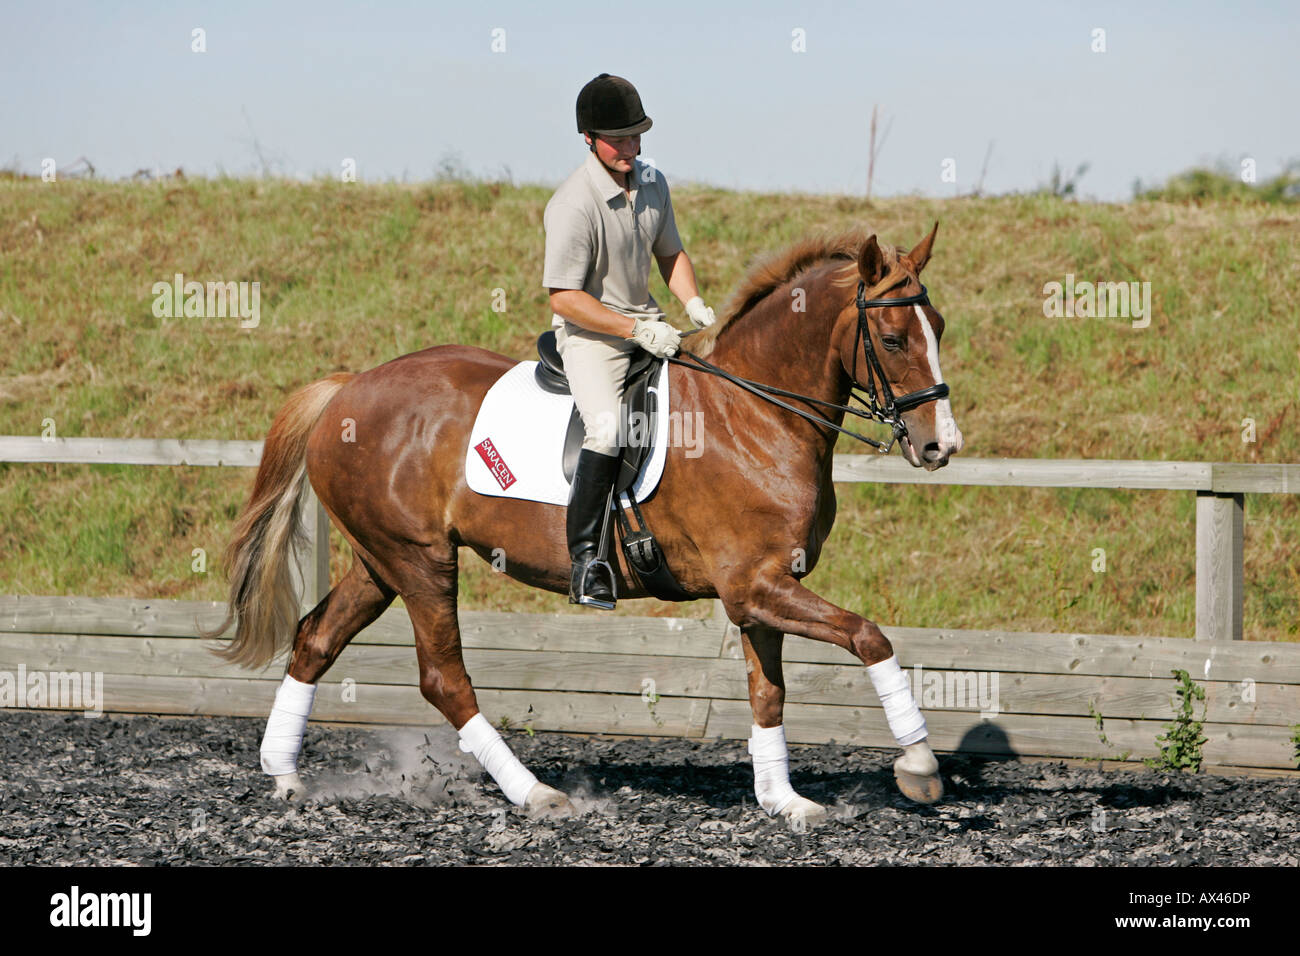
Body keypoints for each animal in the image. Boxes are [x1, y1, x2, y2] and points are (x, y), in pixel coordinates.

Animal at [207, 223, 963, 827]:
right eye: (892, 339)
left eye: (939, 328)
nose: (939, 447)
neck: (757, 412)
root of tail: (349, 387)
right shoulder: (754, 585)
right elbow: (868, 636)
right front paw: (919, 766)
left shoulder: (762, 588)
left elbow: (768, 691)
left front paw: (784, 799)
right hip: (421, 561)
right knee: (443, 679)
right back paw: (536, 794)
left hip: (380, 561)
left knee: (315, 640)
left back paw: (284, 776)